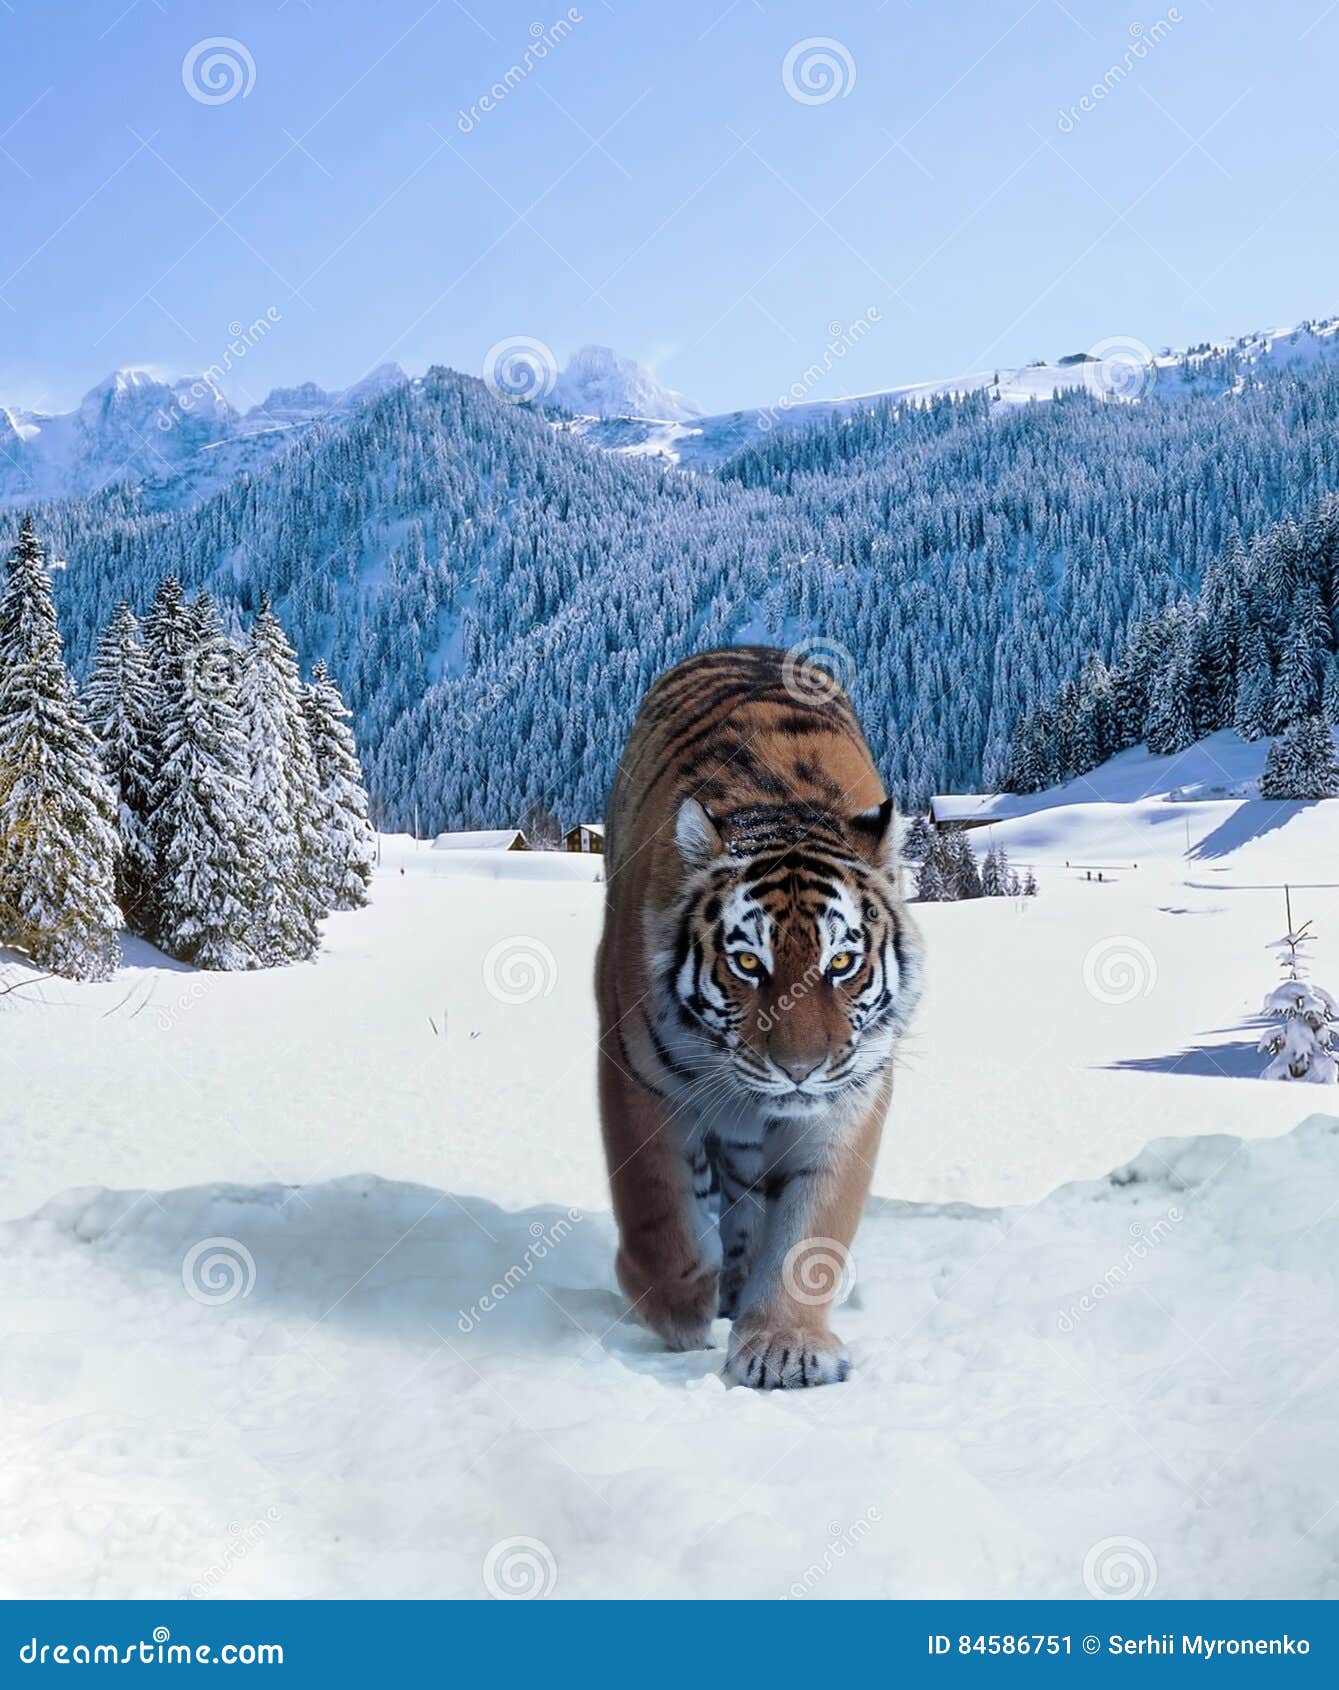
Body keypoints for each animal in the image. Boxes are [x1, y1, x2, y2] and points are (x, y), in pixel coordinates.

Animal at [595, 646, 924, 1389]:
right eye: (748, 963)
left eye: (840, 963)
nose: (799, 1069)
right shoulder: (635, 1074)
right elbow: (657, 1203)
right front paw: (678, 1306)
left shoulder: (849, 1097)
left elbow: (810, 1229)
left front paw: (784, 1347)